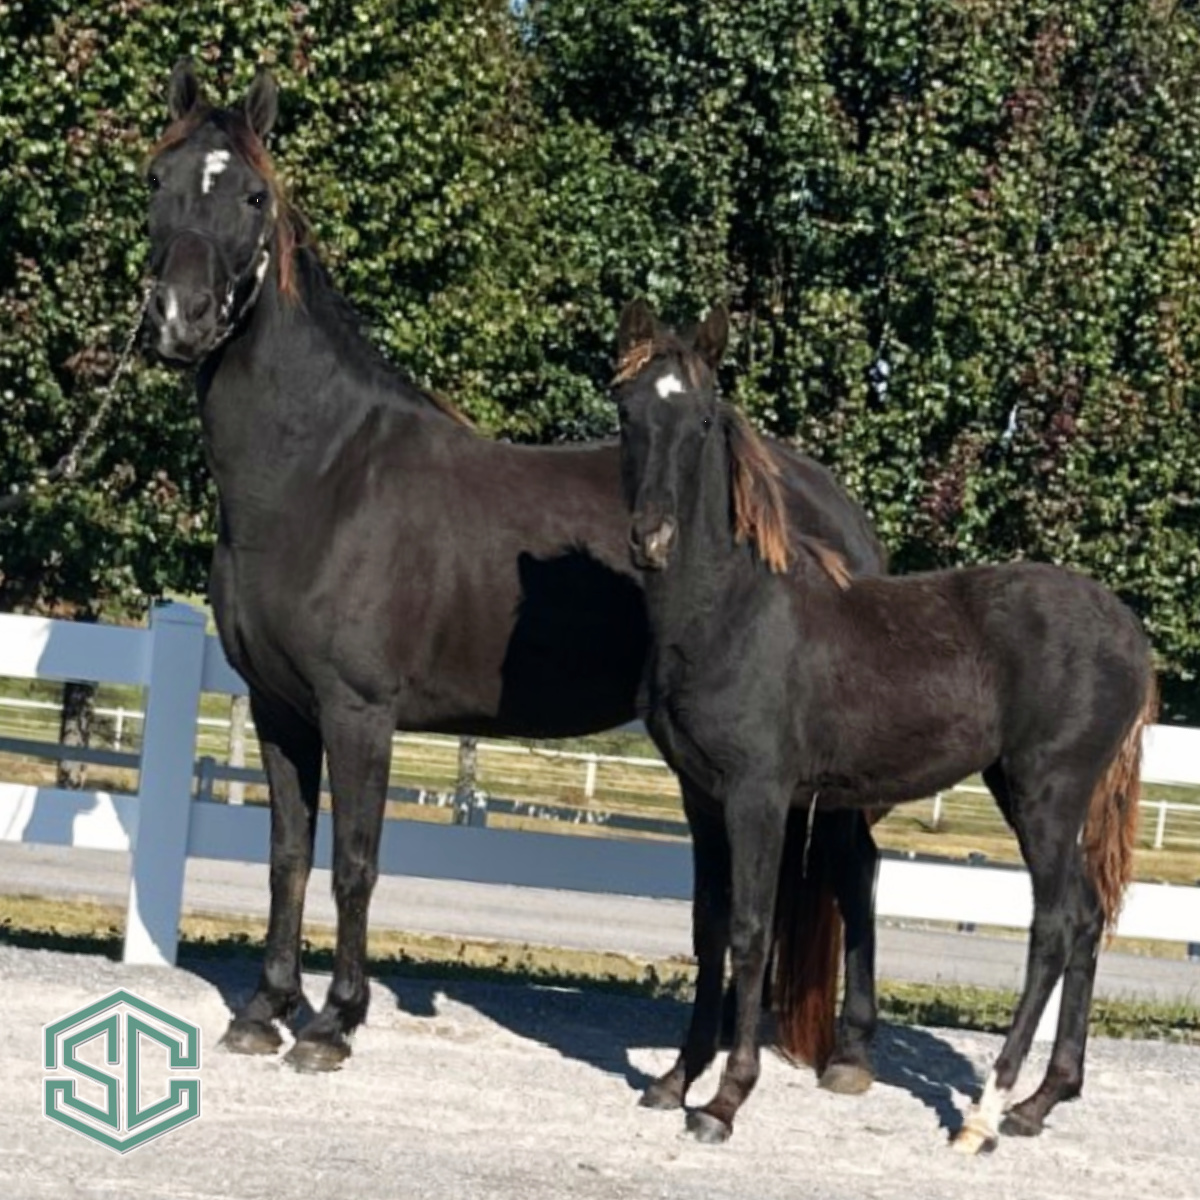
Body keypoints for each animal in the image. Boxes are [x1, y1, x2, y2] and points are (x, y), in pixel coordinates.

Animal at [141, 60, 890, 1085]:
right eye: (159, 180)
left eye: (254, 196)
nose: (179, 320)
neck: (320, 473)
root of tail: (838, 512)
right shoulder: (278, 708)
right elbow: (288, 856)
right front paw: (264, 1011)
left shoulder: (358, 710)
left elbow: (355, 863)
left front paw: (332, 1023)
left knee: (856, 869)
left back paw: (850, 1051)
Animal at [611, 299, 1158, 1153]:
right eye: (627, 411)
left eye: (701, 418)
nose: (653, 540)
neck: (731, 612)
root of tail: (1130, 633)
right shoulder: (701, 797)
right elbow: (707, 928)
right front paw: (673, 1081)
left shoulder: (759, 795)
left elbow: (750, 933)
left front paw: (726, 1101)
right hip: (1025, 790)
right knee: (1091, 918)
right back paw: (1040, 1103)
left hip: (1048, 792)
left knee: (1058, 923)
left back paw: (986, 1112)